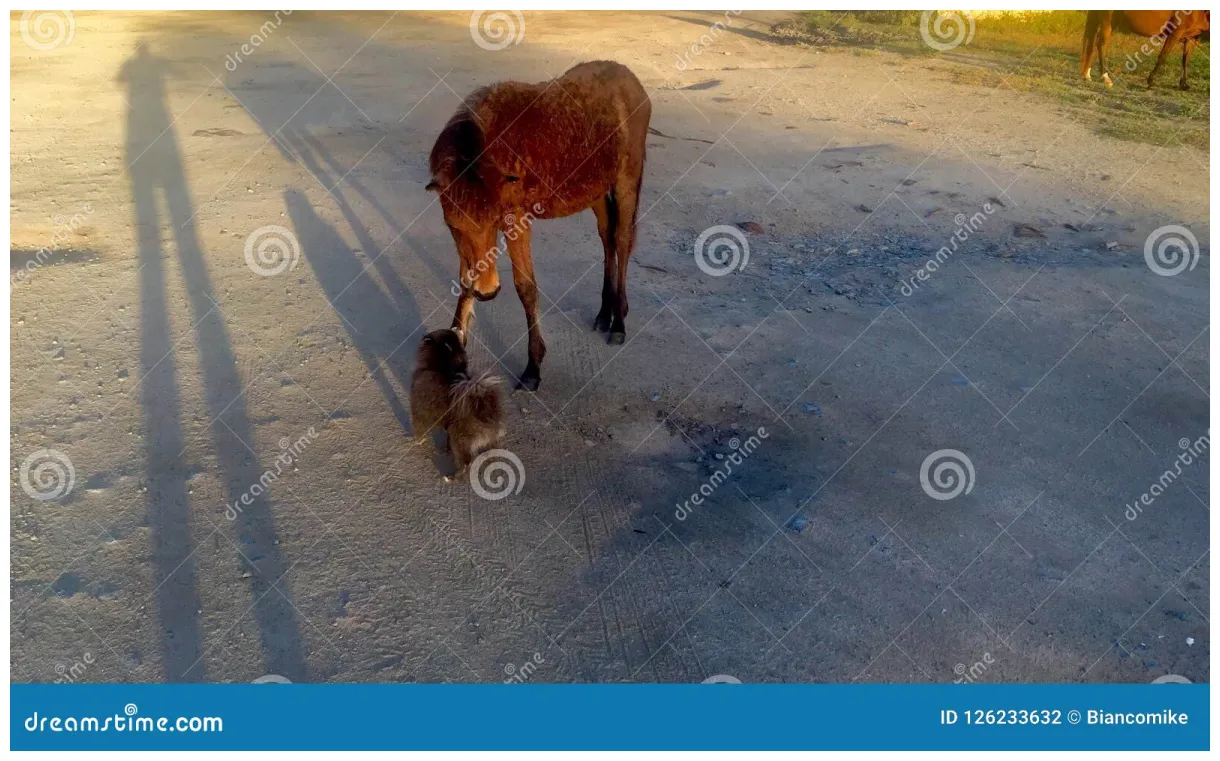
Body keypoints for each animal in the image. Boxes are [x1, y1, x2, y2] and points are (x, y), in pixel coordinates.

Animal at [426, 60, 652, 391]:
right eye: (452, 226)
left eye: (493, 221)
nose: (488, 292)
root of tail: (635, 83)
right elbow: (466, 280)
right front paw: (456, 348)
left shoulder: (516, 221)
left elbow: (525, 288)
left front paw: (533, 368)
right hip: (596, 193)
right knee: (607, 239)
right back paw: (604, 313)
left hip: (626, 183)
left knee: (622, 241)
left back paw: (619, 322)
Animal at [1081, 10, 1210, 90]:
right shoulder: (1175, 33)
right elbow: (1163, 56)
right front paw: (1150, 81)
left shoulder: (1190, 38)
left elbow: (1185, 60)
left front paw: (1184, 84)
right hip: (1108, 21)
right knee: (1100, 44)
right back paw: (1105, 78)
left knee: (1092, 42)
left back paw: (1087, 75)